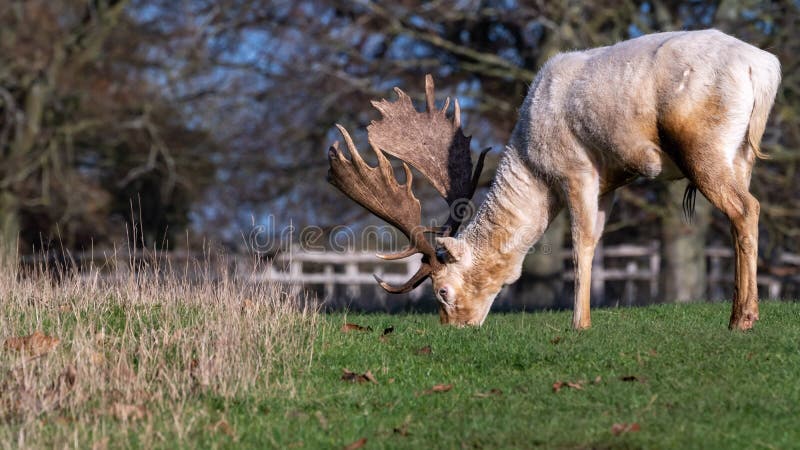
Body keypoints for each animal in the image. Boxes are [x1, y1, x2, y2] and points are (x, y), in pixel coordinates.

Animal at [327, 29, 781, 330]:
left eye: (442, 291)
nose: (453, 327)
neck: (534, 167)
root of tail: (763, 68)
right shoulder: (610, 181)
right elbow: (597, 237)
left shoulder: (575, 169)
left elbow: (581, 242)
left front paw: (580, 324)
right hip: (741, 153)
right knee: (745, 212)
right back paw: (743, 312)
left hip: (703, 144)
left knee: (747, 207)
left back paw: (742, 319)